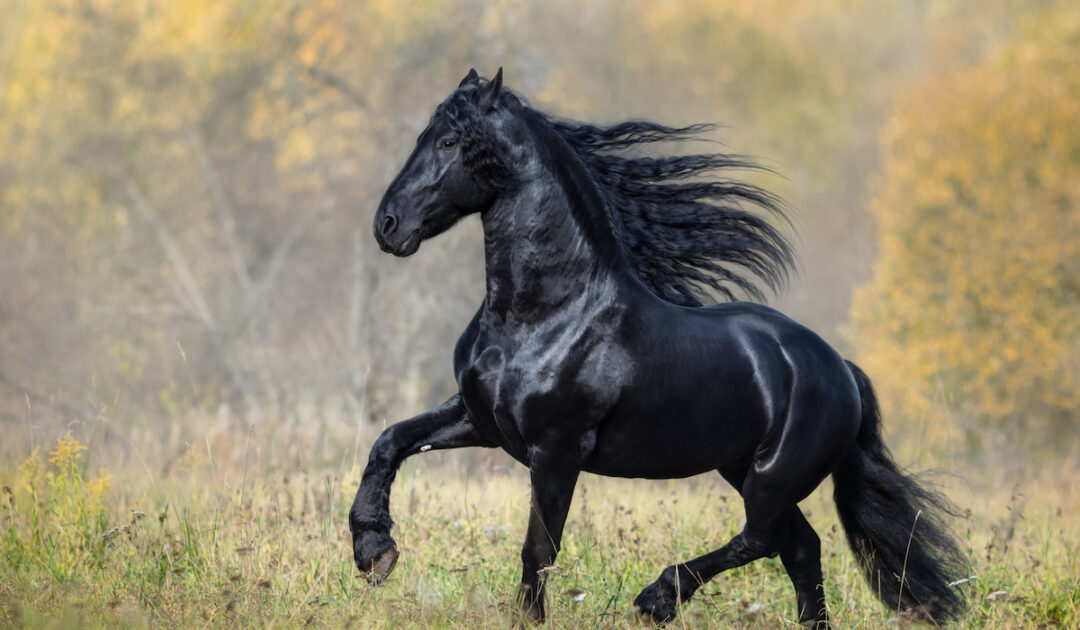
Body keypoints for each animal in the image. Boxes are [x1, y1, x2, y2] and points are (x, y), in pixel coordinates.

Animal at [349, 68, 967, 627]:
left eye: (450, 142)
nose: (387, 224)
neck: (542, 314)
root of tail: (841, 368)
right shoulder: (481, 420)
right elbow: (390, 442)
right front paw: (374, 551)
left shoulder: (557, 450)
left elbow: (539, 550)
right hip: (741, 467)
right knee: (799, 547)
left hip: (772, 476)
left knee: (764, 538)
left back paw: (657, 599)